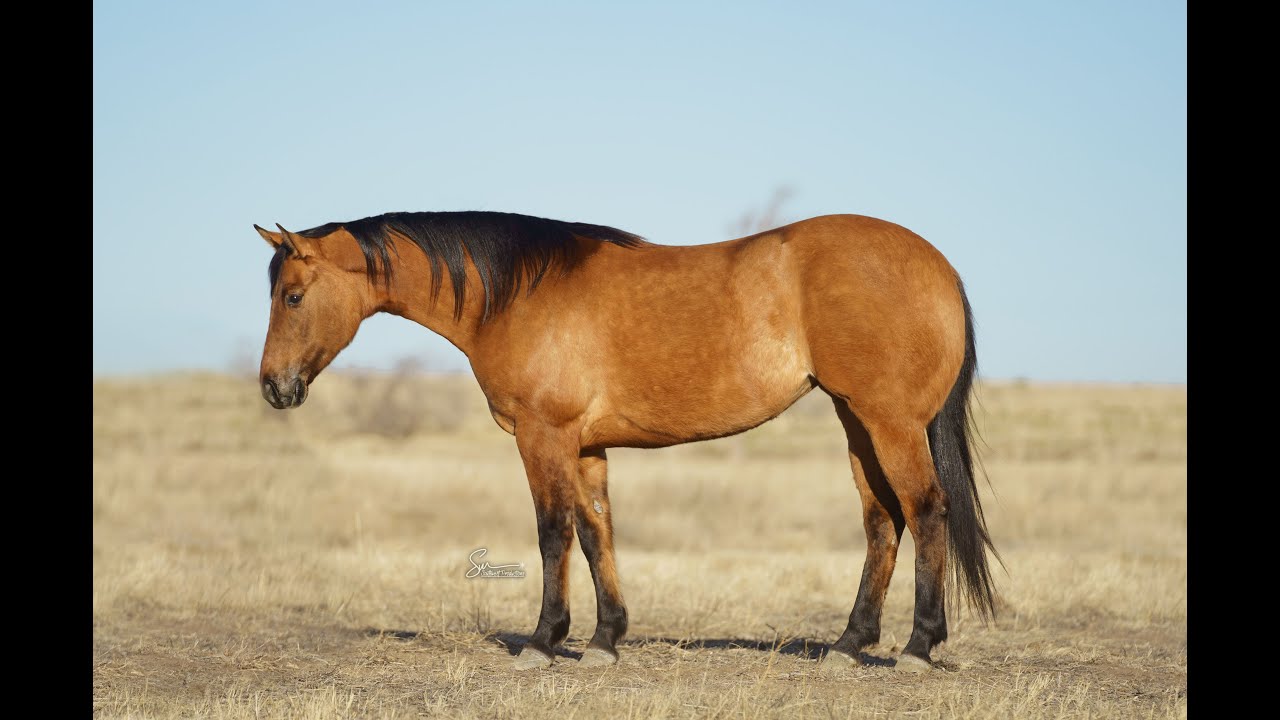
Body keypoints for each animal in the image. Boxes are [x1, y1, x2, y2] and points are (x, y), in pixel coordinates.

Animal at [252, 210, 1000, 672]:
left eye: (292, 296)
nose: (273, 388)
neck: (519, 292)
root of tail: (938, 265)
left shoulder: (543, 436)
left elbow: (553, 531)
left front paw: (544, 641)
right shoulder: (585, 448)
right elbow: (595, 532)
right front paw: (606, 639)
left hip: (888, 422)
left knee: (925, 511)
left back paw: (918, 646)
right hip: (856, 423)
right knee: (882, 522)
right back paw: (848, 644)